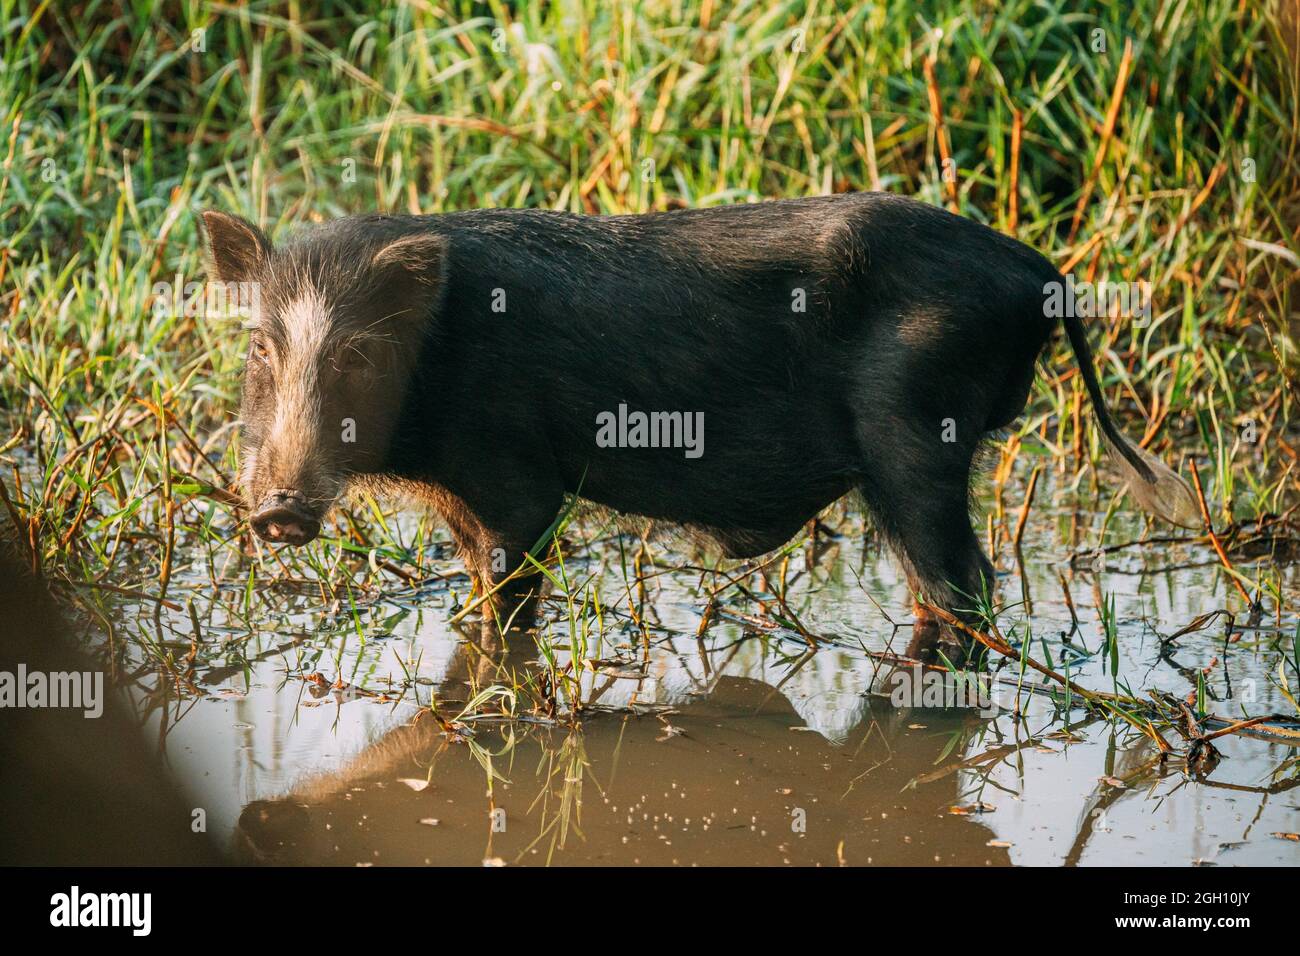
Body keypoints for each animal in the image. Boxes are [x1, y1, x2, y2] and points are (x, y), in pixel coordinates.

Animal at [199, 193, 1198, 661]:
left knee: (966, 585)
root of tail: (1040, 268)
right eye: (259, 347)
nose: (277, 512)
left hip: (919, 441)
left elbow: (510, 599)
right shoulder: (460, 500)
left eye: (359, 355)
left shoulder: (523, 481)